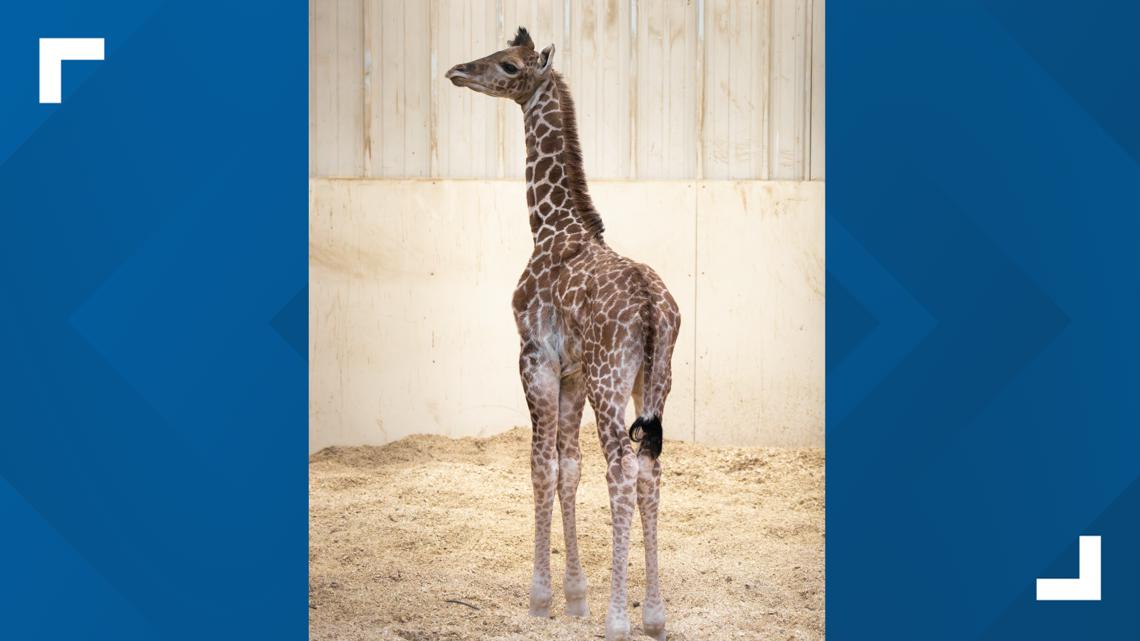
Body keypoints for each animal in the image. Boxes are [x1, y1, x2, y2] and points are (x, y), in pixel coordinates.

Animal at [446, 27, 680, 641]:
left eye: (509, 65)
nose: (458, 71)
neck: (550, 227)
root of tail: (654, 310)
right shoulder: (571, 372)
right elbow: (568, 468)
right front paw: (575, 597)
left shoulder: (535, 358)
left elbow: (540, 466)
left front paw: (541, 596)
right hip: (654, 379)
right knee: (649, 469)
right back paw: (653, 615)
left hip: (610, 379)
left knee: (622, 469)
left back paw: (619, 620)